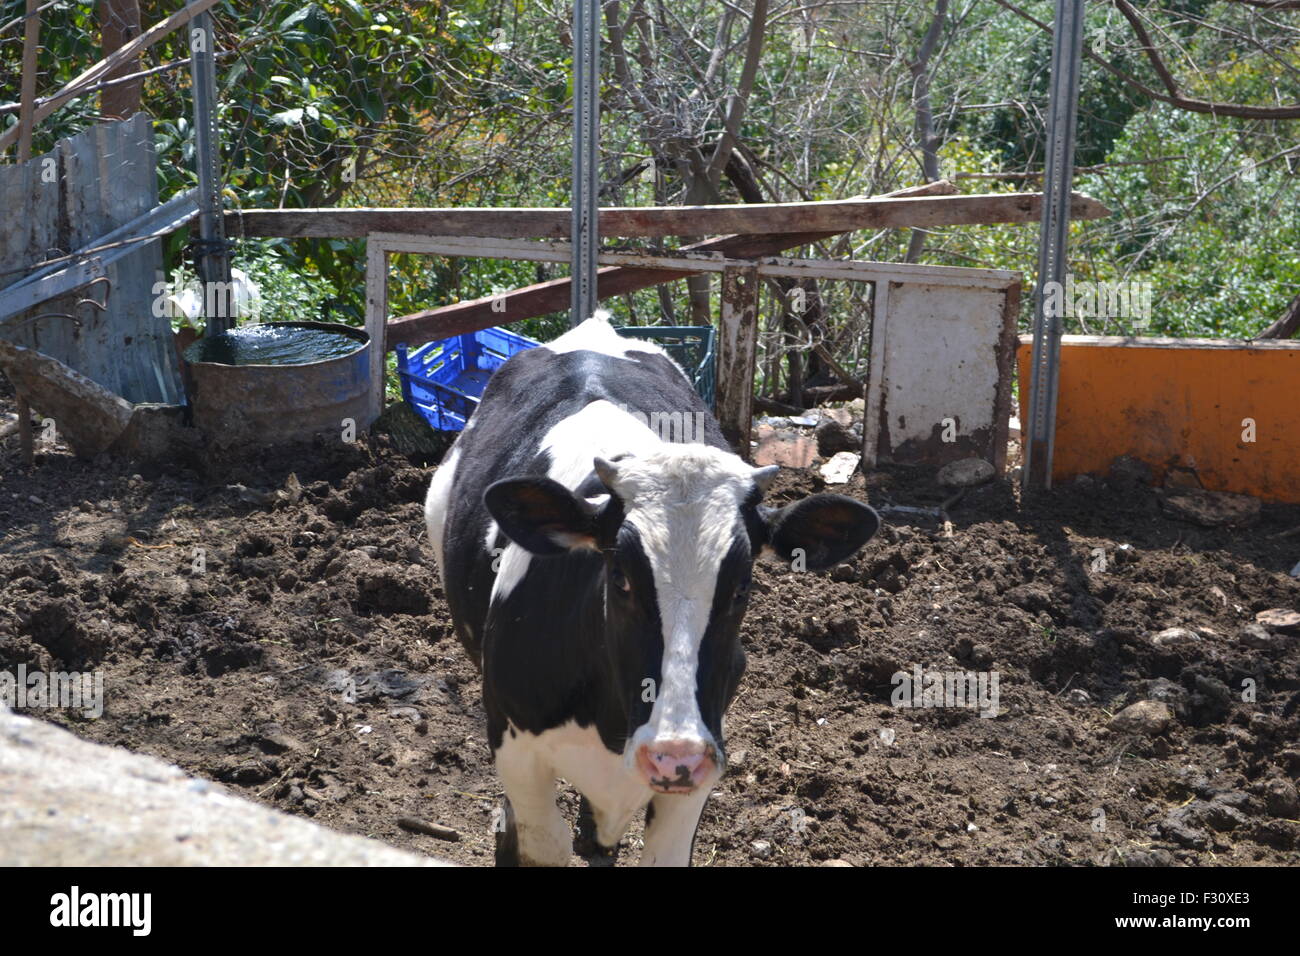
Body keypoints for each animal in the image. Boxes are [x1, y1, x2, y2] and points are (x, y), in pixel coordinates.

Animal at [424, 311, 879, 865]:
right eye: (619, 577)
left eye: (742, 587)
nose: (673, 754)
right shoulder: (515, 746)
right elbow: (543, 840)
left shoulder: (703, 757)